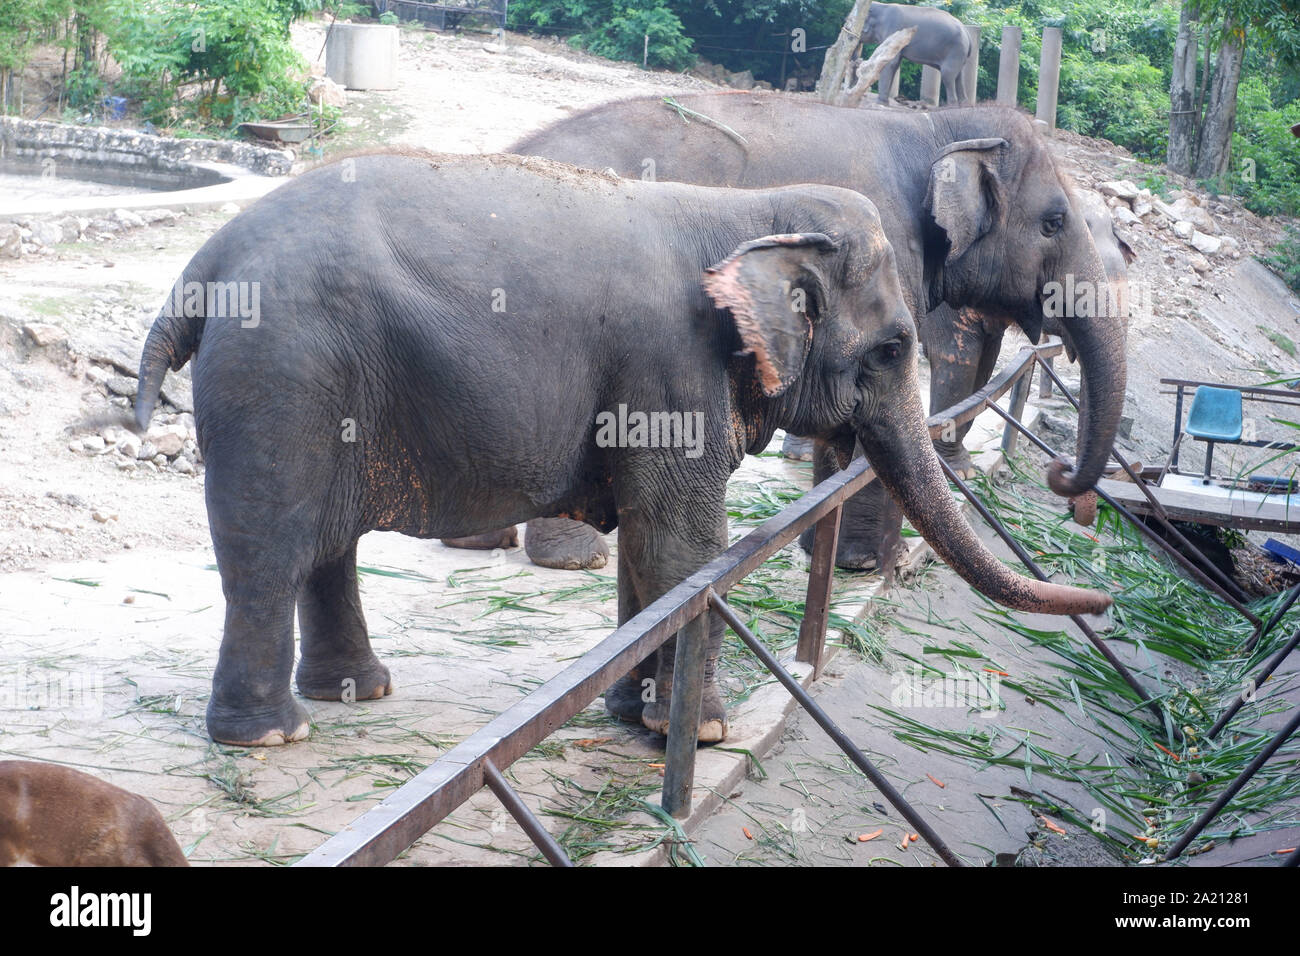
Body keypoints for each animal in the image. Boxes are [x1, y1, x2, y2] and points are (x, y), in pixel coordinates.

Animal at [133, 151, 1110, 747]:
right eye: (894, 349)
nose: (1070, 490)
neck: (750, 214)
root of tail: (201, 267)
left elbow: (648, 544)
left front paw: (631, 719)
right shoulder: (670, 363)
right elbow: (688, 547)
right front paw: (702, 734)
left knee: (327, 544)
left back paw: (357, 694)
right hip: (283, 373)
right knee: (269, 547)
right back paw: (271, 735)